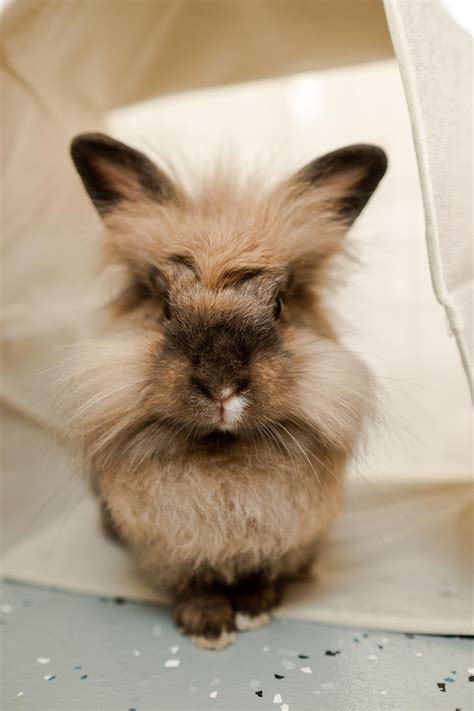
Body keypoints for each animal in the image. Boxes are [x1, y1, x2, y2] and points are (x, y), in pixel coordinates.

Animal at [65, 133, 387, 650]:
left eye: (279, 306)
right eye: (164, 307)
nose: (221, 384)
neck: (223, 457)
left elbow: (260, 572)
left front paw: (255, 608)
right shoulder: (168, 545)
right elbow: (194, 582)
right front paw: (209, 626)